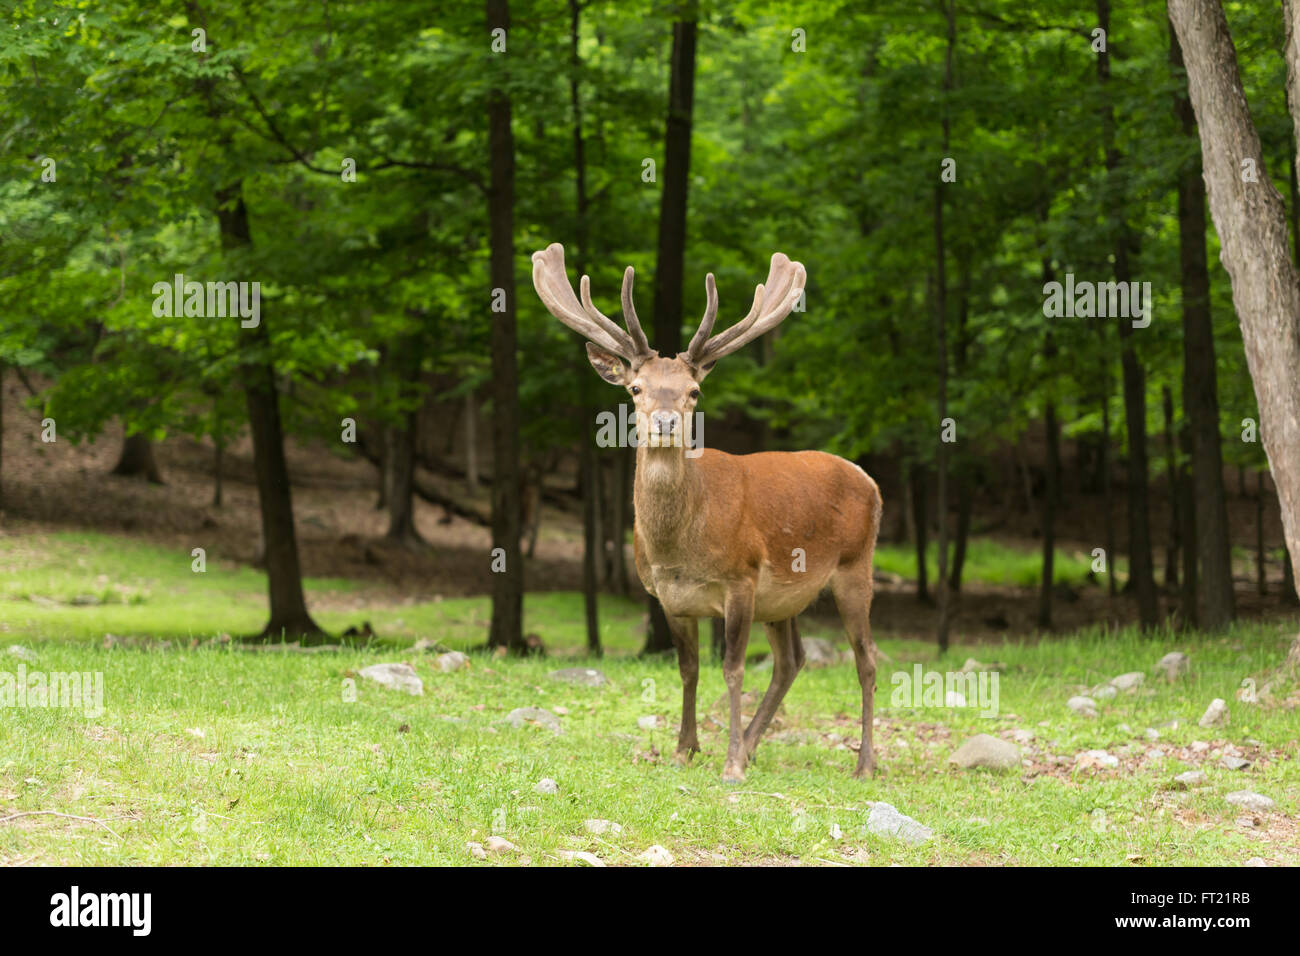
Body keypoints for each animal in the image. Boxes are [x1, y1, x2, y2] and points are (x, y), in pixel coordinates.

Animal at [531, 243, 882, 783]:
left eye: (693, 391)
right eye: (635, 388)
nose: (665, 422)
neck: (679, 548)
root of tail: (870, 480)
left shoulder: (741, 579)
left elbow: (732, 669)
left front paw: (731, 764)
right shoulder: (667, 596)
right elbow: (688, 668)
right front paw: (685, 749)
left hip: (854, 566)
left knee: (865, 661)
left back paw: (863, 763)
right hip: (783, 599)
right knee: (792, 660)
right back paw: (756, 744)